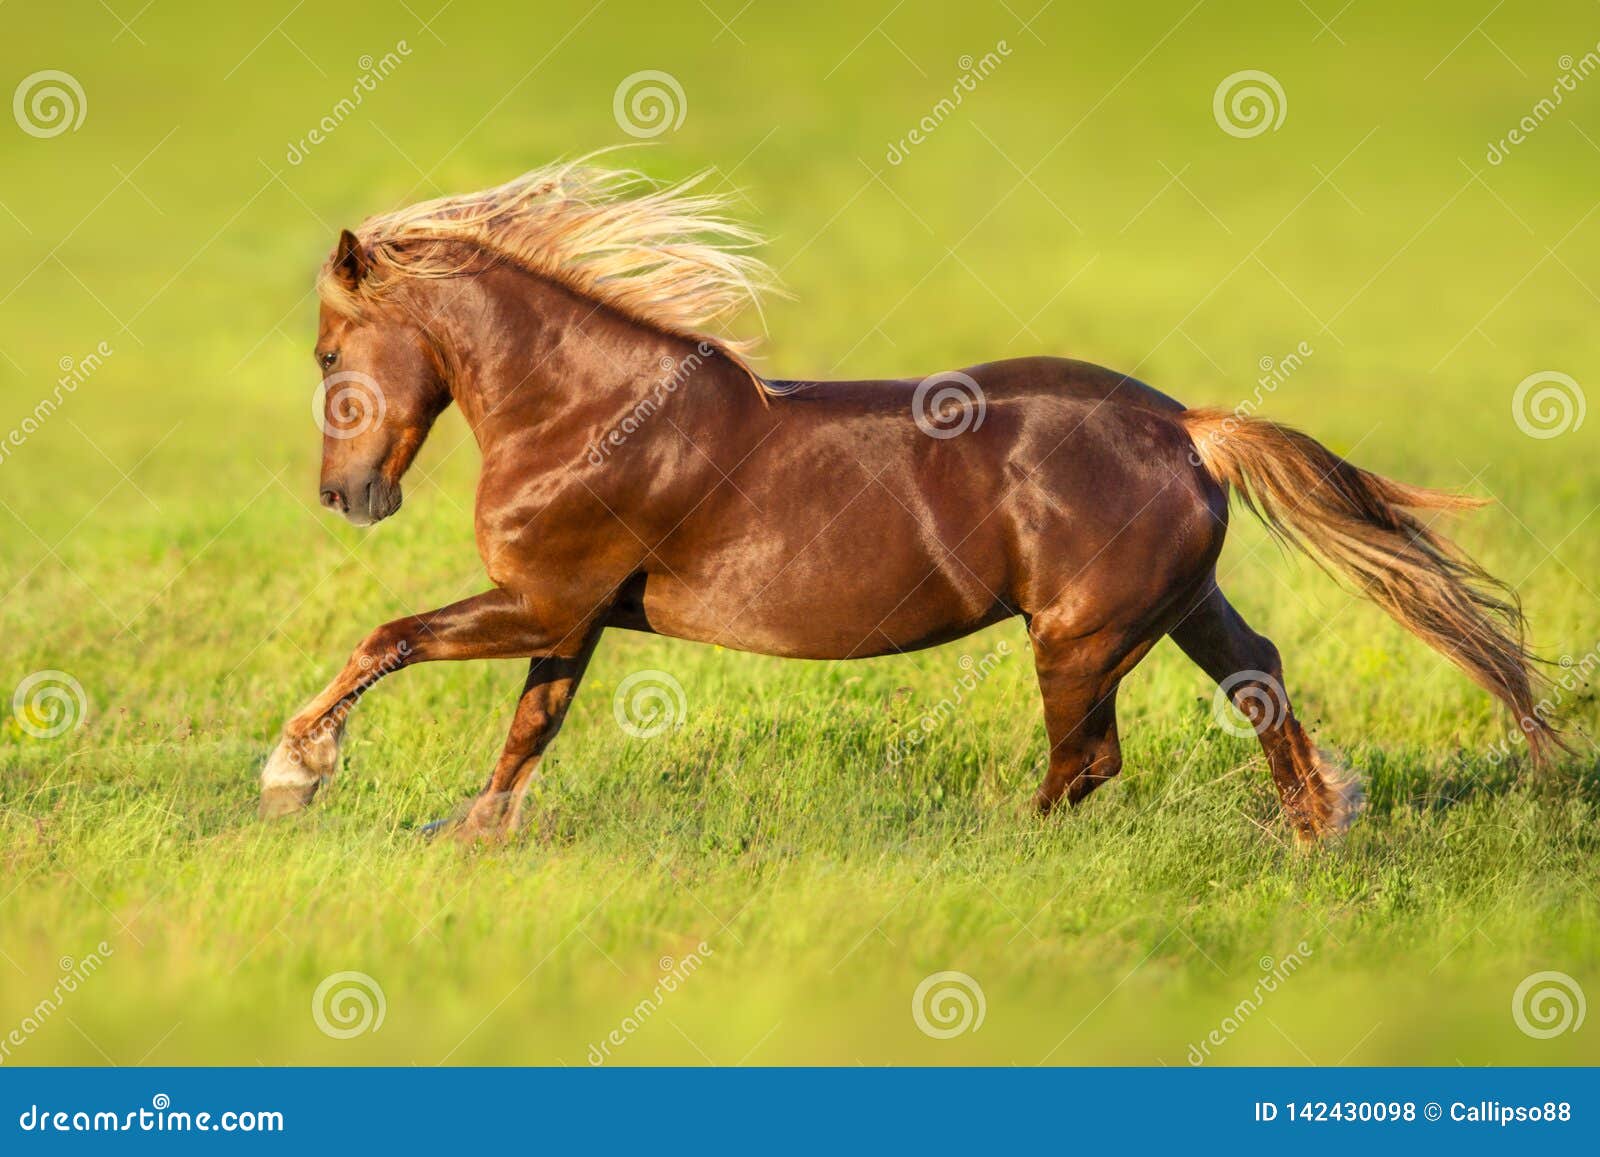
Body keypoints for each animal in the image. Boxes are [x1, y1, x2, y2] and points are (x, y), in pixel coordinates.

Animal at [258, 159, 1557, 842]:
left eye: (326, 355)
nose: (346, 497)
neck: (590, 415)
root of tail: (1184, 426)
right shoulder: (567, 613)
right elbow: (532, 725)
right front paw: (469, 833)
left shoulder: (542, 596)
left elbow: (389, 638)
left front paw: (293, 771)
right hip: (1179, 604)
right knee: (1259, 678)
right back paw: (1316, 834)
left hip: (1077, 636)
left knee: (1090, 759)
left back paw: (1008, 845)